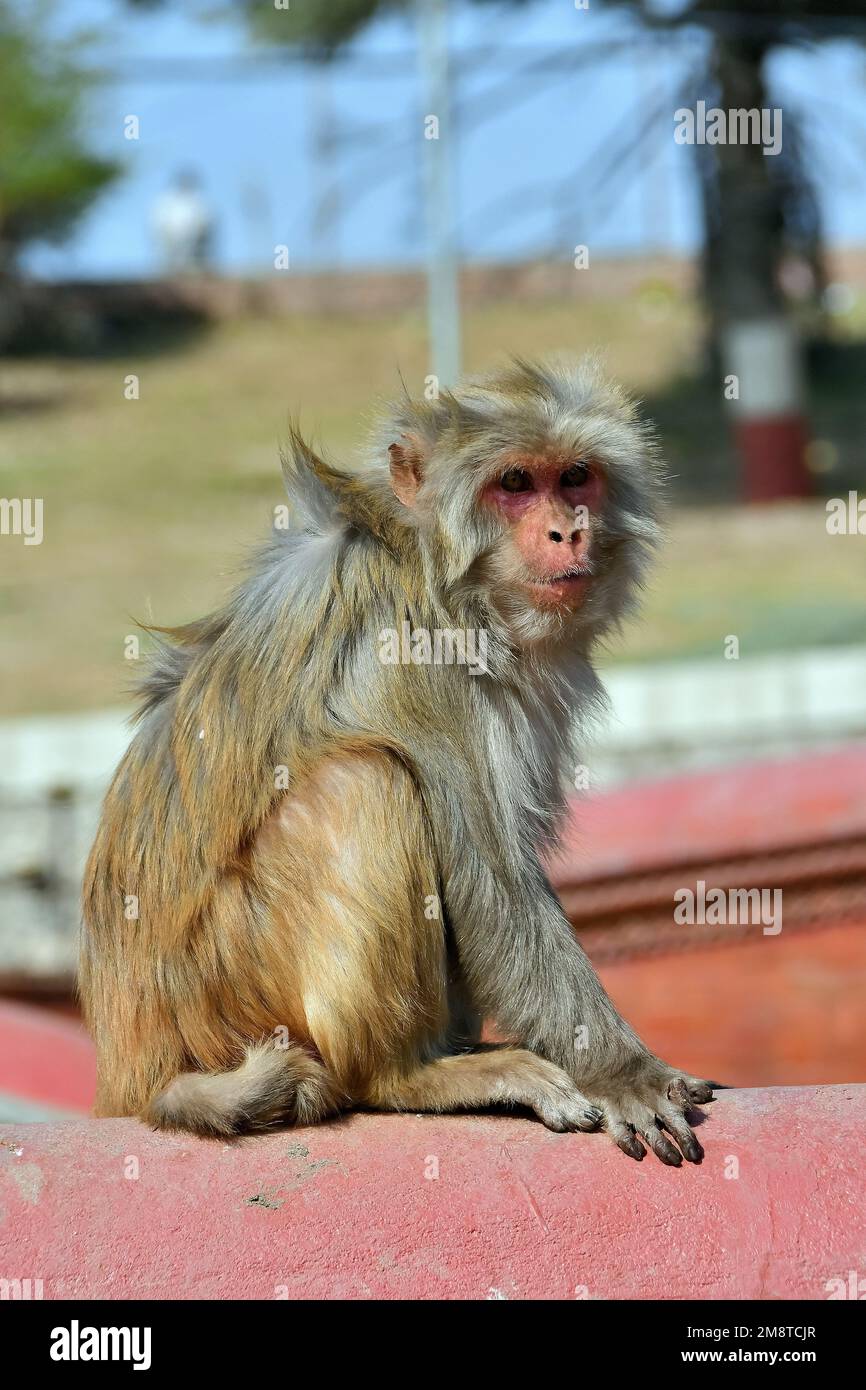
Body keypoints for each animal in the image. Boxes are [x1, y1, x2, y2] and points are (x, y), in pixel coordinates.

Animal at [80, 355, 714, 1165]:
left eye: (576, 476)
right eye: (514, 483)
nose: (566, 530)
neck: (436, 570)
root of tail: (140, 1067)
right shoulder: (422, 660)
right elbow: (491, 878)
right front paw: (622, 1072)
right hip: (233, 988)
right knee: (368, 779)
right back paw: (408, 1074)